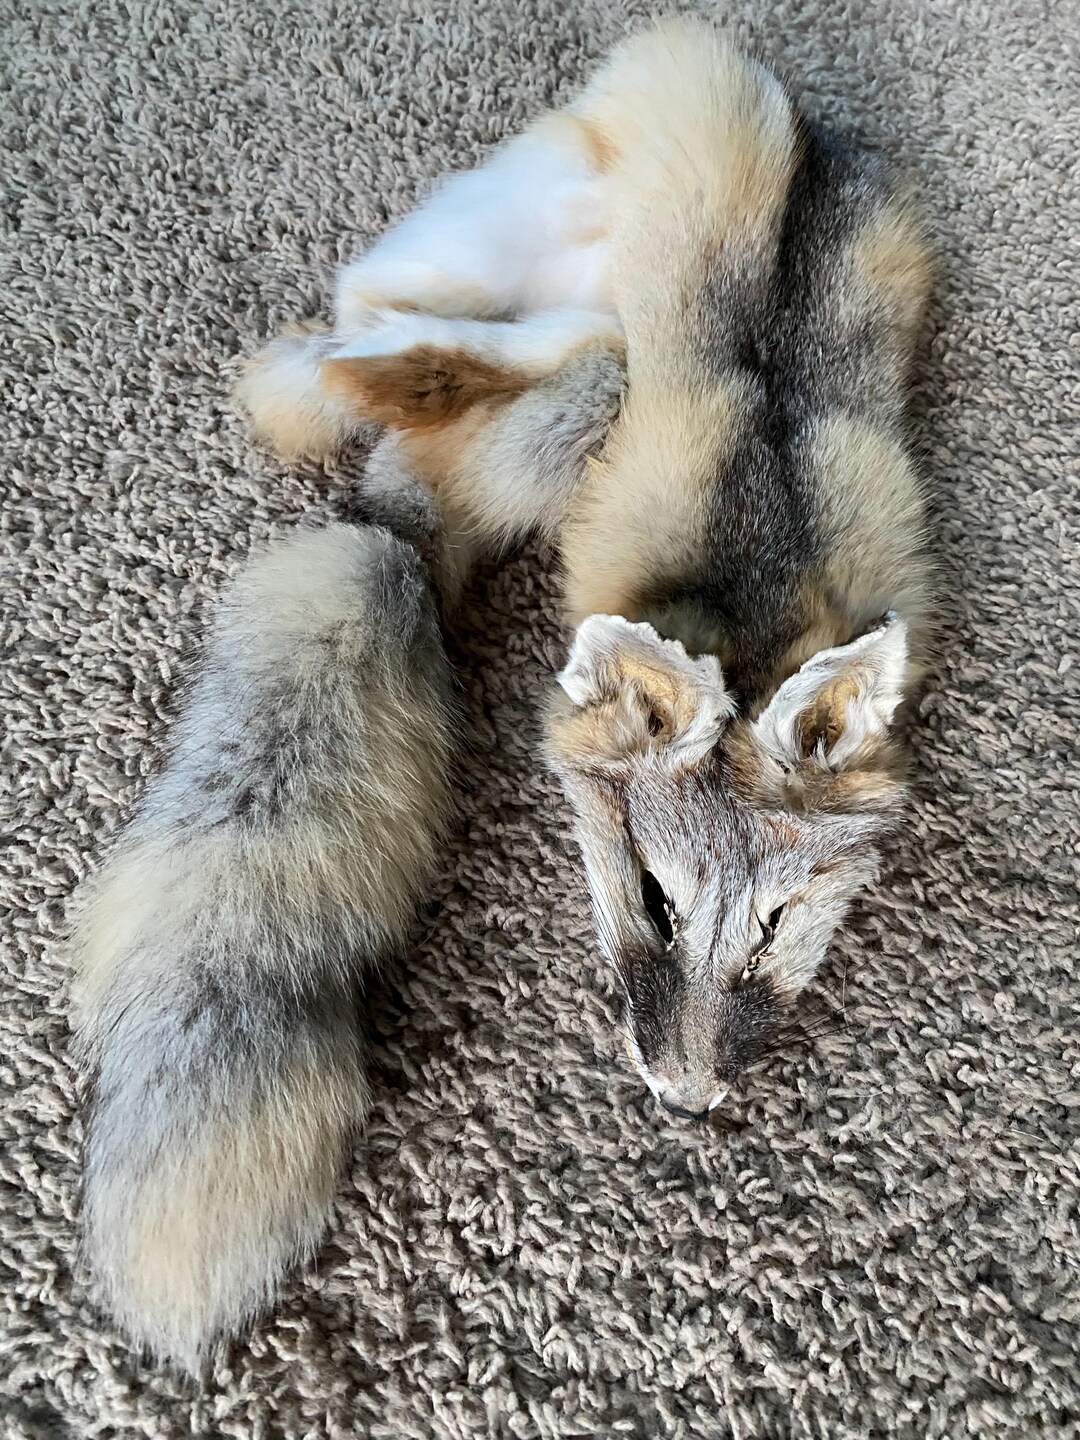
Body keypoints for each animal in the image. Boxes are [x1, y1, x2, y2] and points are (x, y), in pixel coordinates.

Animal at [237, 17, 933, 1121]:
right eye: (653, 900)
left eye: (775, 930)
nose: (685, 1102)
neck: (760, 611)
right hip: (513, 255)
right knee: (342, 334)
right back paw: (402, 365)